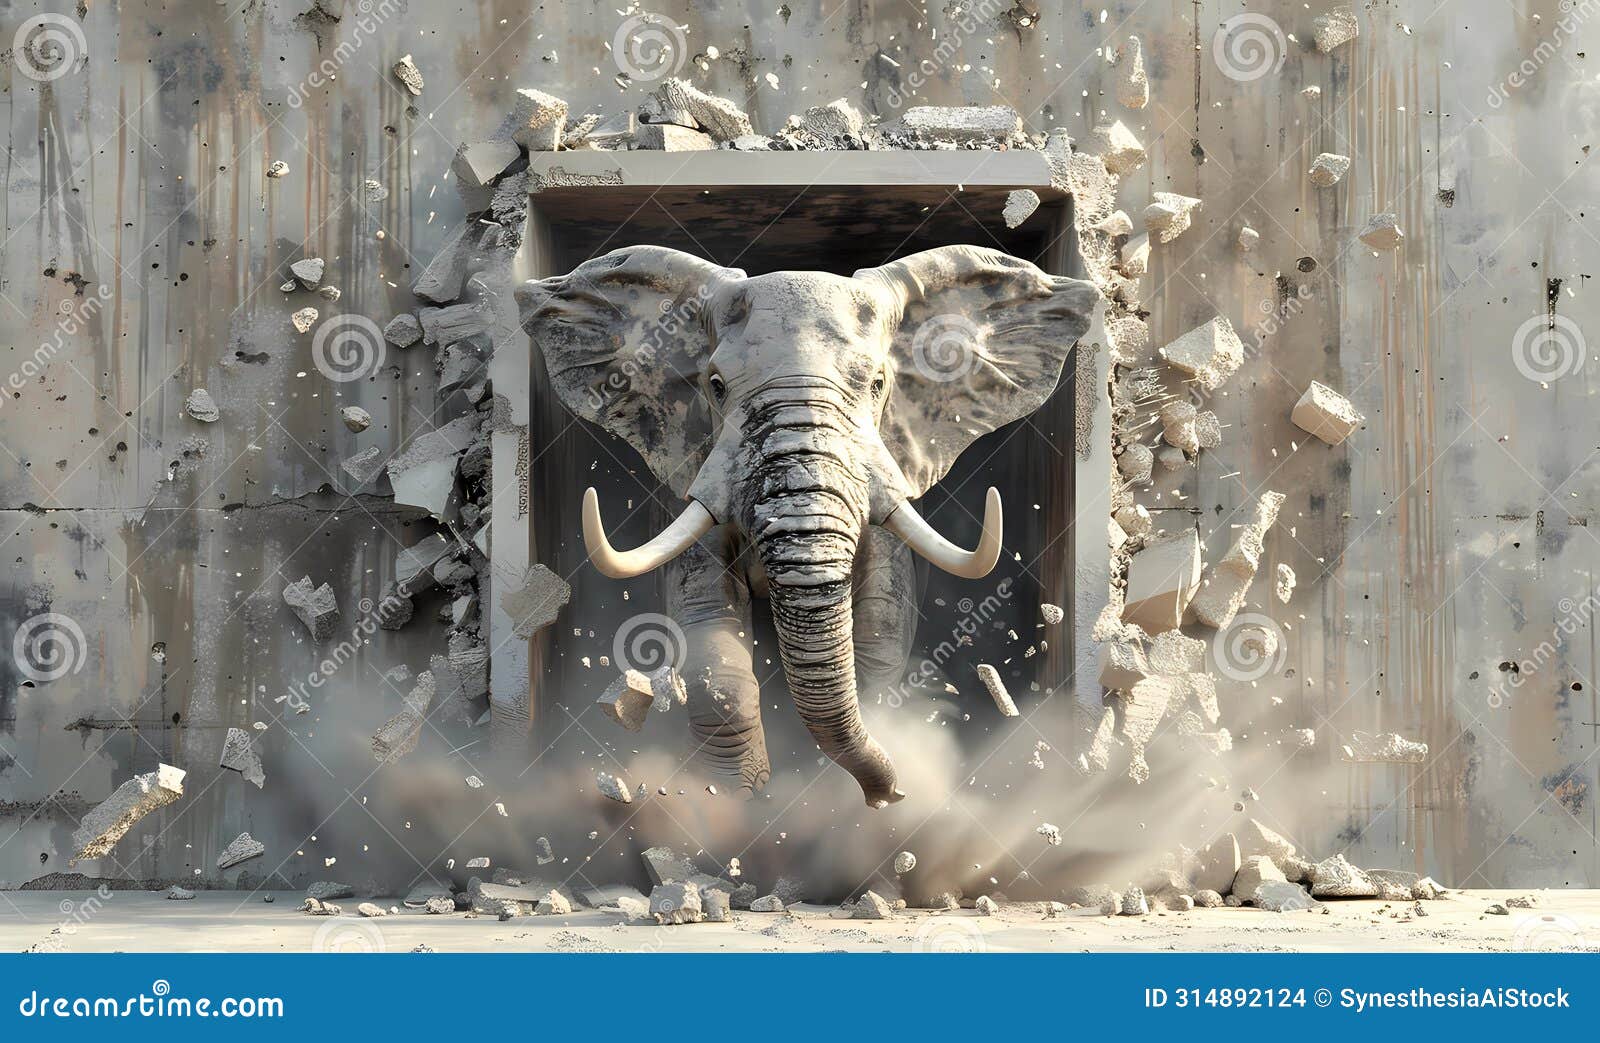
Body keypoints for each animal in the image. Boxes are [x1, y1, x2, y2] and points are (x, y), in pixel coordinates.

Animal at [517, 244, 1099, 808]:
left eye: (878, 384)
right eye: (715, 386)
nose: (890, 795)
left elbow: (882, 628)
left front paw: (836, 797)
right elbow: (705, 629)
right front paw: (728, 799)